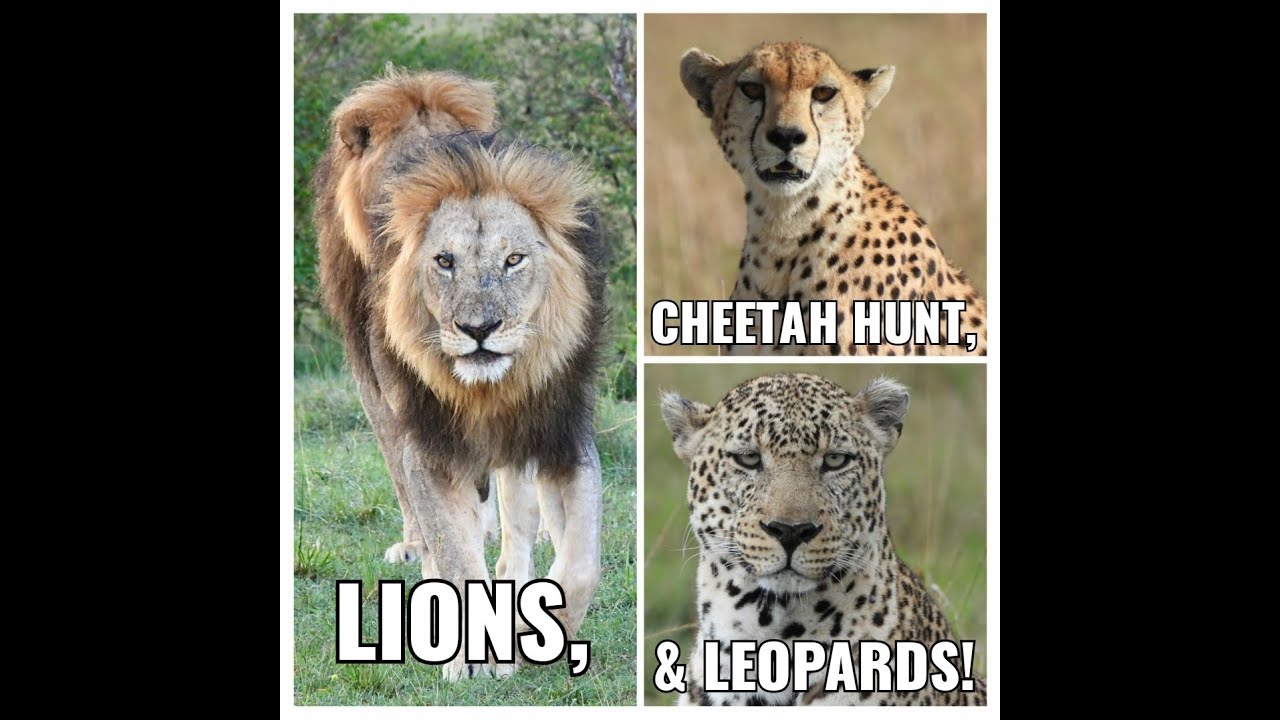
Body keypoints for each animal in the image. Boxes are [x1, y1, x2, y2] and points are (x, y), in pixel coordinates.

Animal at [312, 68, 606, 681]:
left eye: (514, 260)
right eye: (443, 262)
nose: (478, 328)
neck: (491, 389)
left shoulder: (562, 432)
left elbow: (581, 559)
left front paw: (550, 629)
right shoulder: (425, 442)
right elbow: (451, 547)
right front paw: (473, 650)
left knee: (518, 513)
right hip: (372, 385)